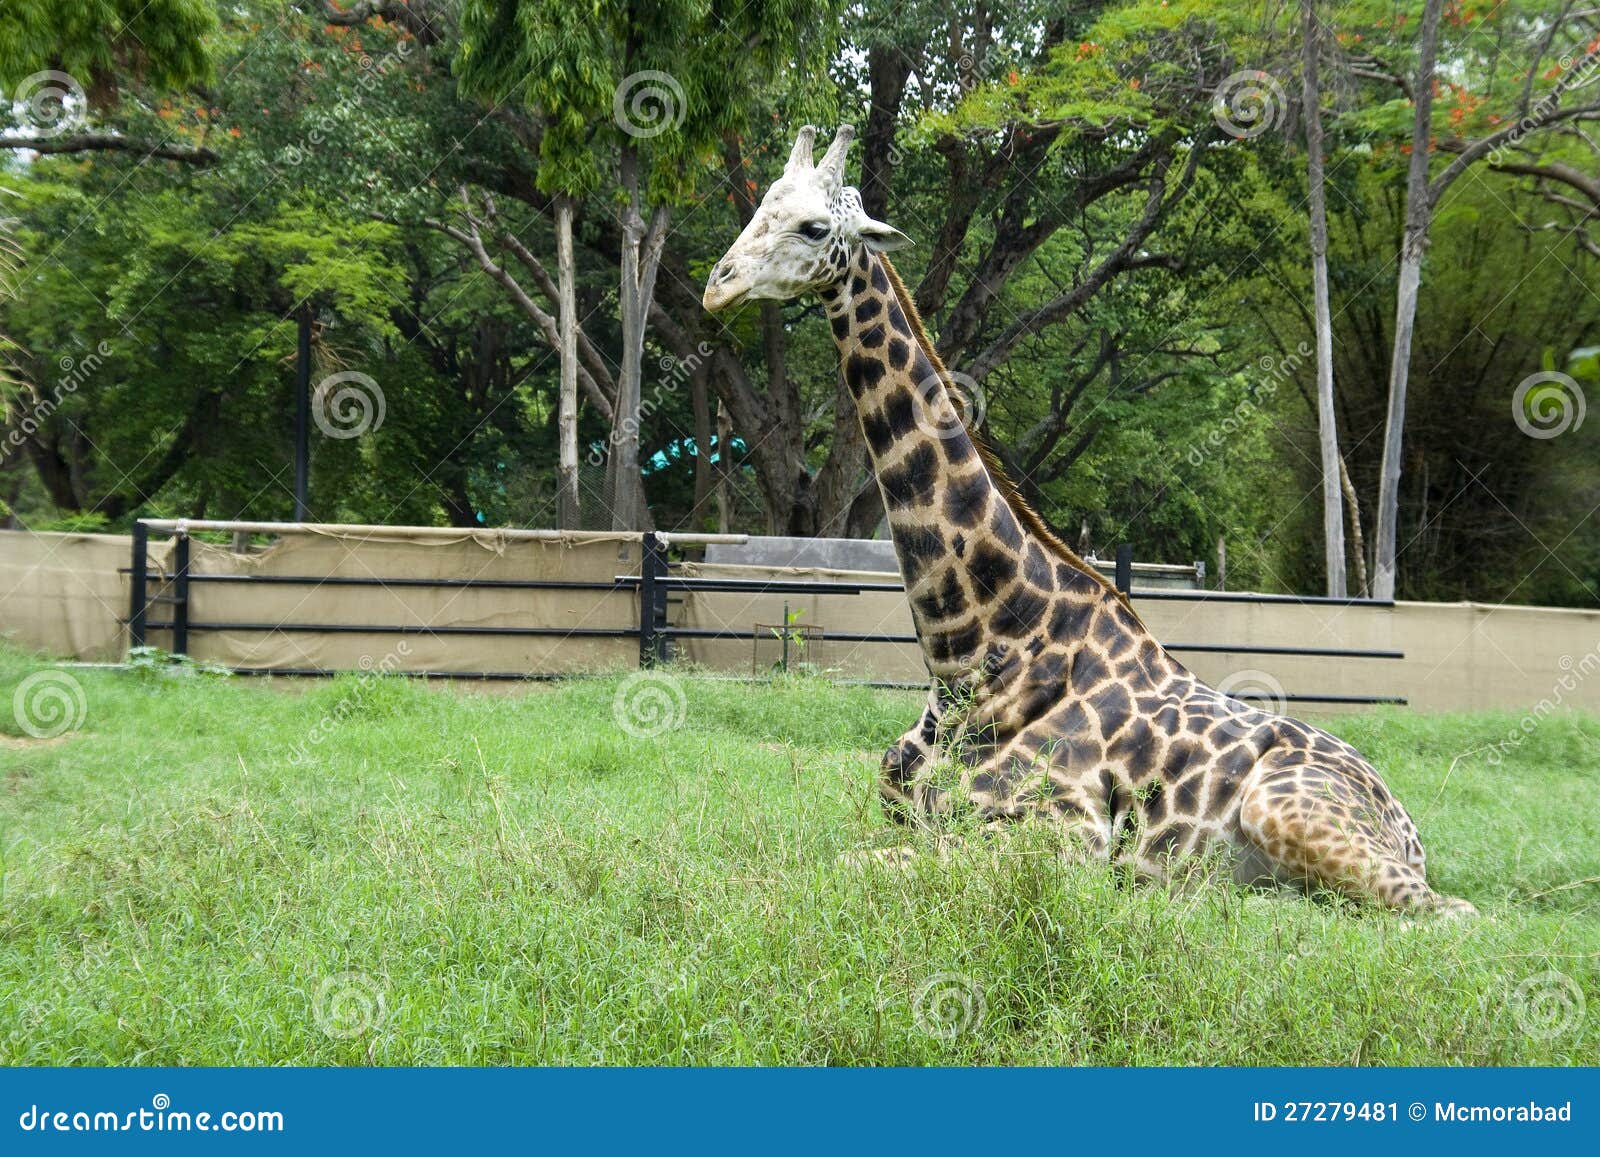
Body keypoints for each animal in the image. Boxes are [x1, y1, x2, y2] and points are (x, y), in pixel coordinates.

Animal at [702, 125, 1475, 917]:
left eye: (812, 227)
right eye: (761, 204)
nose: (717, 285)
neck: (971, 656)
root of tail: (1406, 823)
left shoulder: (1062, 835)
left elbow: (843, 867)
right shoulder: (901, 810)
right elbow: (822, 856)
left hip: (1287, 811)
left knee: (1446, 913)